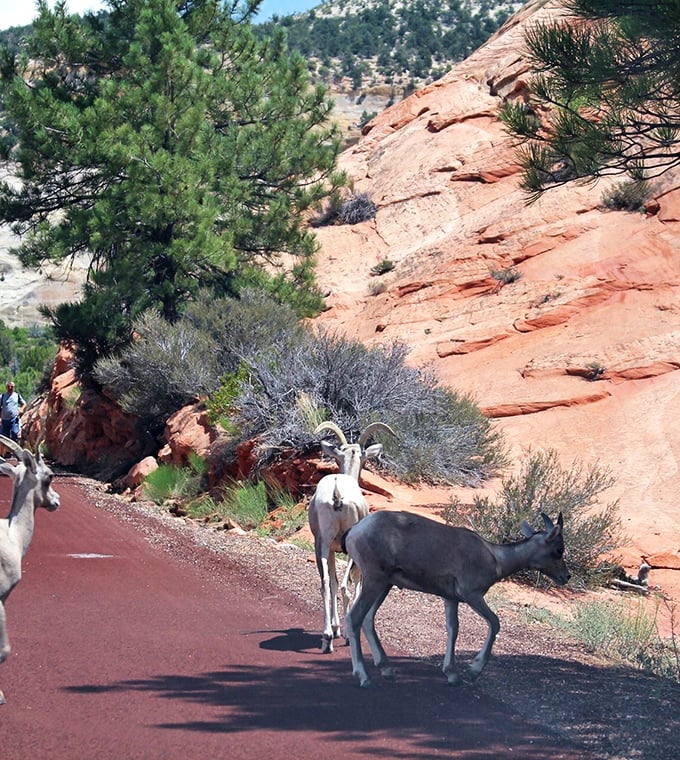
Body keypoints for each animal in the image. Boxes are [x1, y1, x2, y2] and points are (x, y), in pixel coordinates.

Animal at [308, 420, 395, 653]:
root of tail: (337, 492)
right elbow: (355, 582)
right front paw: (344, 630)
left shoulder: (329, 549)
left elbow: (332, 582)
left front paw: (336, 628)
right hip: (347, 547)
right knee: (346, 585)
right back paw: (346, 635)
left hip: (321, 544)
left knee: (326, 583)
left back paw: (327, 637)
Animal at [343, 510, 570, 687]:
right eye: (559, 550)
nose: (566, 577)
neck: (495, 558)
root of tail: (355, 531)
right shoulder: (472, 595)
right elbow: (495, 623)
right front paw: (473, 671)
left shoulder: (450, 599)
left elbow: (453, 629)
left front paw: (452, 675)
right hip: (374, 581)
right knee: (354, 618)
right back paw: (364, 677)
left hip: (384, 585)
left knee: (367, 619)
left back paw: (387, 670)